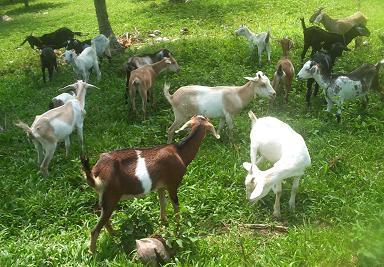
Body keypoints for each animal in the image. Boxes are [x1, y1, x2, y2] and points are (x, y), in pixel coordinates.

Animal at [80, 115, 219, 253]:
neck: (180, 152)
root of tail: (95, 174)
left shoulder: (160, 187)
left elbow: (163, 203)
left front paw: (163, 222)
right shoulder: (172, 184)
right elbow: (176, 206)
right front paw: (178, 227)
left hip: (105, 199)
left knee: (104, 219)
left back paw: (115, 235)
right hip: (111, 196)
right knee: (95, 229)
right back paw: (93, 253)